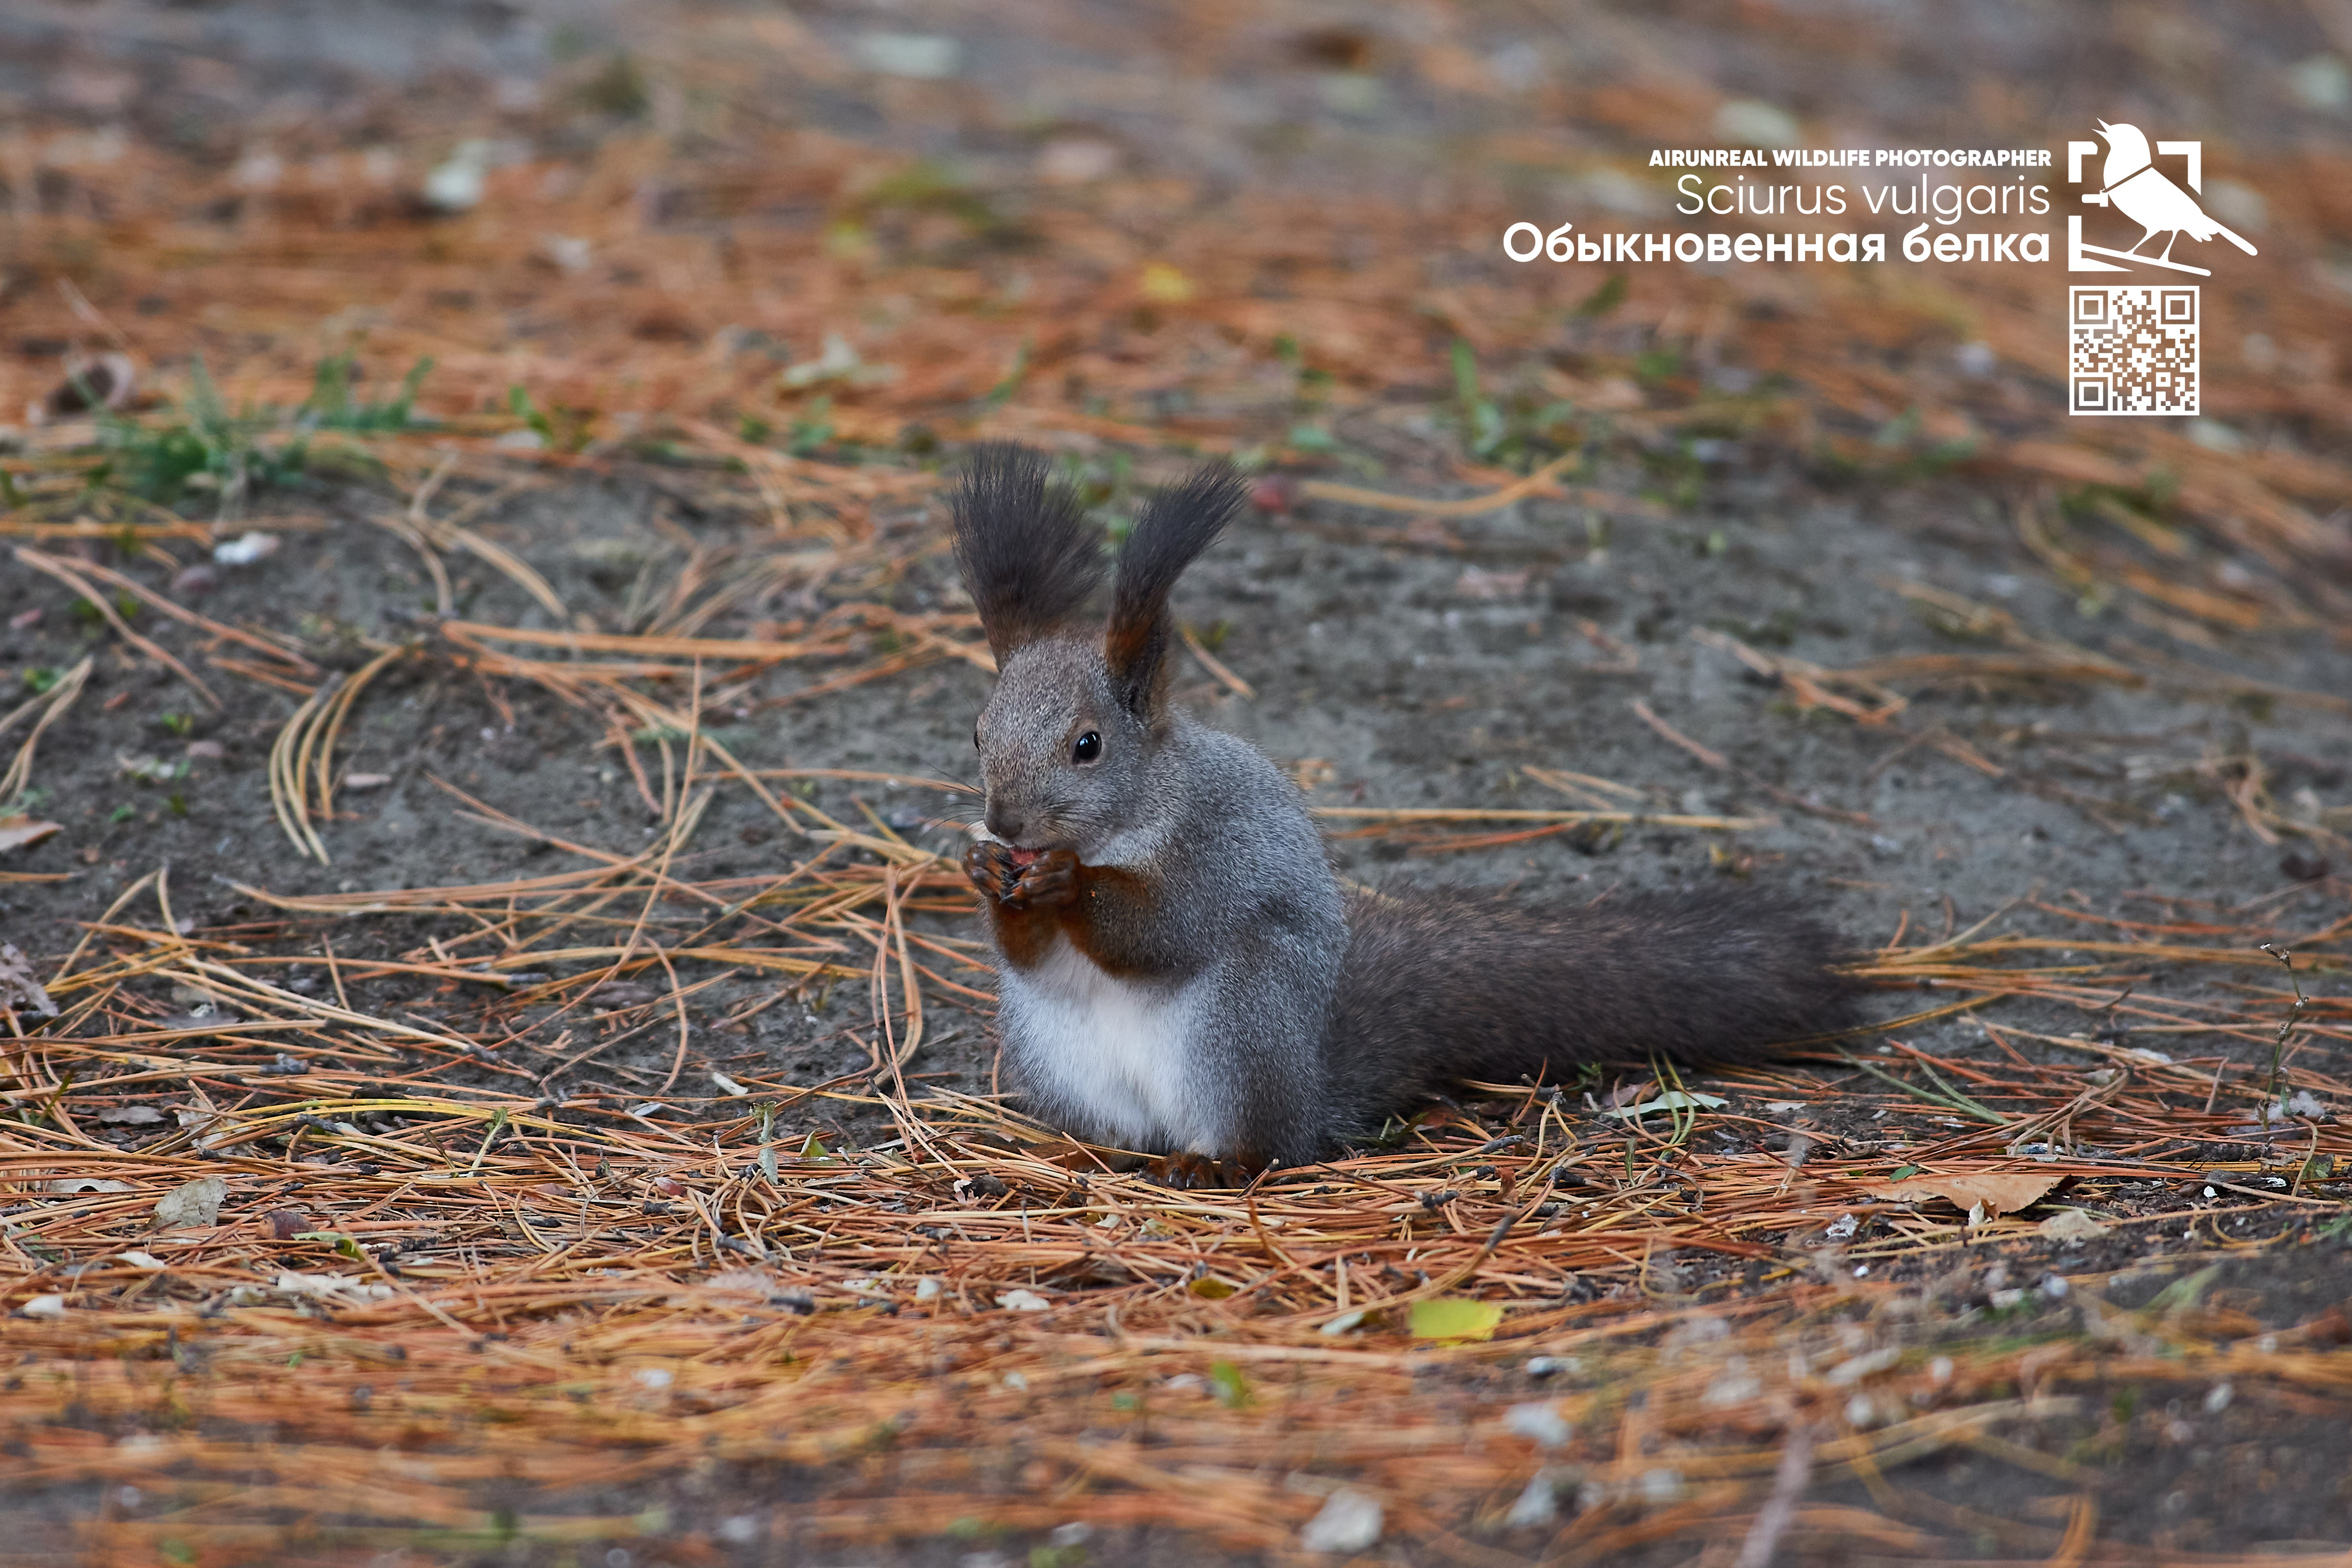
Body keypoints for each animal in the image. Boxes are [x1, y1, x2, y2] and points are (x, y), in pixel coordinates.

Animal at [950, 442, 1853, 1175]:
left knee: (1264, 1146)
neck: (1128, 818)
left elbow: (1162, 929)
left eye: (1088, 745)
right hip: (1055, 1050)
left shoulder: (1216, 850)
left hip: (1236, 1028)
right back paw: (1091, 1152)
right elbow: (1027, 950)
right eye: (977, 730)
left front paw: (1067, 883)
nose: (1006, 825)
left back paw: (1215, 1161)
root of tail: (1310, 1093)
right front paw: (983, 869)